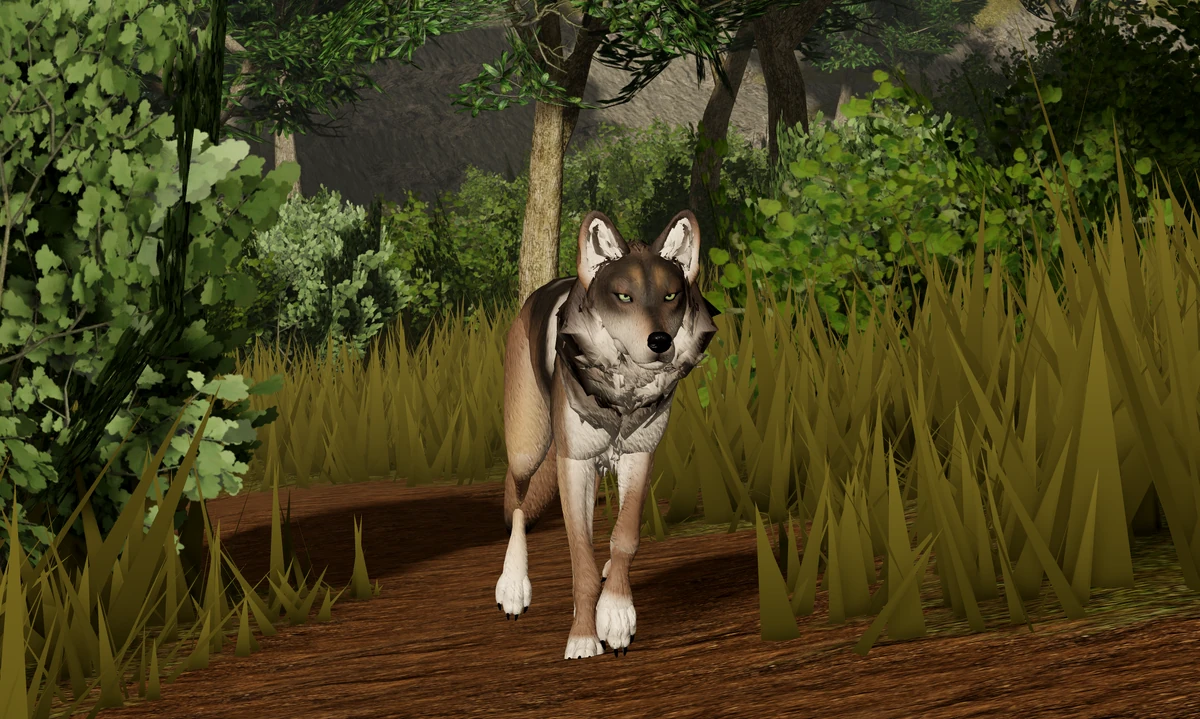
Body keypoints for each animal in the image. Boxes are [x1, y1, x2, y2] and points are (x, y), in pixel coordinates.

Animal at [494, 209, 720, 659]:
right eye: (624, 297)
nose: (660, 341)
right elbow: (580, 556)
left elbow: (624, 537)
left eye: (671, 296)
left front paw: (615, 612)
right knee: (518, 501)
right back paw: (512, 586)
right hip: (529, 448)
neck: (622, 395)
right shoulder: (574, 464)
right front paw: (583, 636)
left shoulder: (639, 457)